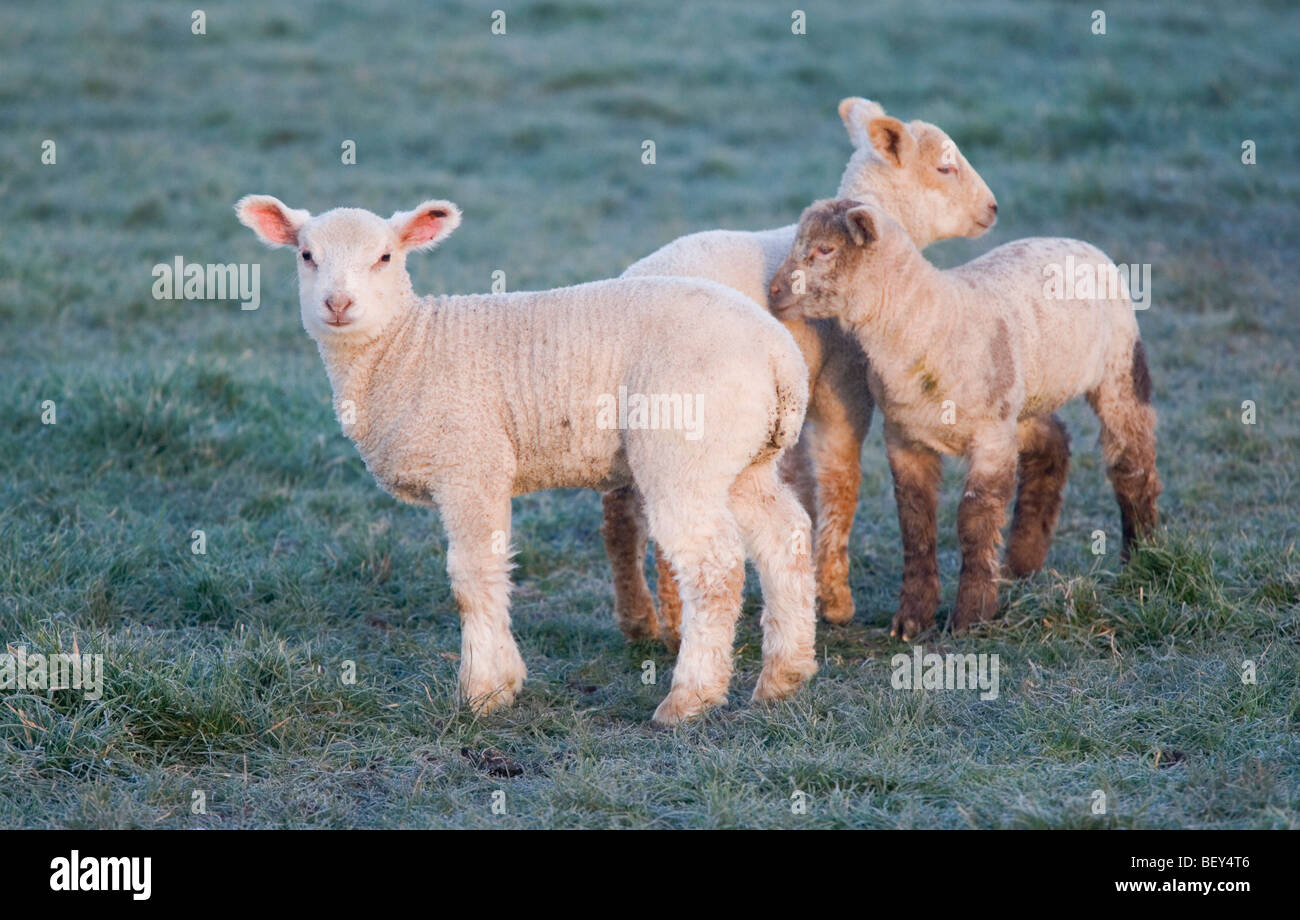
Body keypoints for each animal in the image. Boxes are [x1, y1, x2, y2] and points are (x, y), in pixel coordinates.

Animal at [235, 195, 818, 724]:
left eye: (384, 257)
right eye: (306, 255)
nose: (337, 304)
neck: (406, 346)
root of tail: (778, 353)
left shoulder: (471, 465)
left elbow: (471, 580)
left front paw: (481, 693)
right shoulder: (483, 471)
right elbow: (493, 571)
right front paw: (506, 678)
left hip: (684, 451)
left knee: (715, 567)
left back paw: (690, 698)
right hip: (742, 459)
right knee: (784, 536)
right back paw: (784, 677)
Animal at [605, 98, 1001, 645]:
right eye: (945, 167)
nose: (993, 208)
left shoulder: (795, 394)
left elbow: (799, 483)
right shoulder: (842, 385)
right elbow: (840, 479)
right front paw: (834, 600)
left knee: (619, 509)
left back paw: (639, 618)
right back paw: (675, 623)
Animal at [769, 198, 1161, 638]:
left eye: (825, 250)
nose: (774, 291)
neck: (927, 323)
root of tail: (1081, 243)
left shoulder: (990, 437)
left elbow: (975, 517)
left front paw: (971, 615)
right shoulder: (905, 435)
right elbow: (915, 521)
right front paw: (912, 618)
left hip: (1118, 367)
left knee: (1131, 459)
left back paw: (1140, 555)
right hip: (1020, 401)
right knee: (1053, 443)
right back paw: (1021, 562)